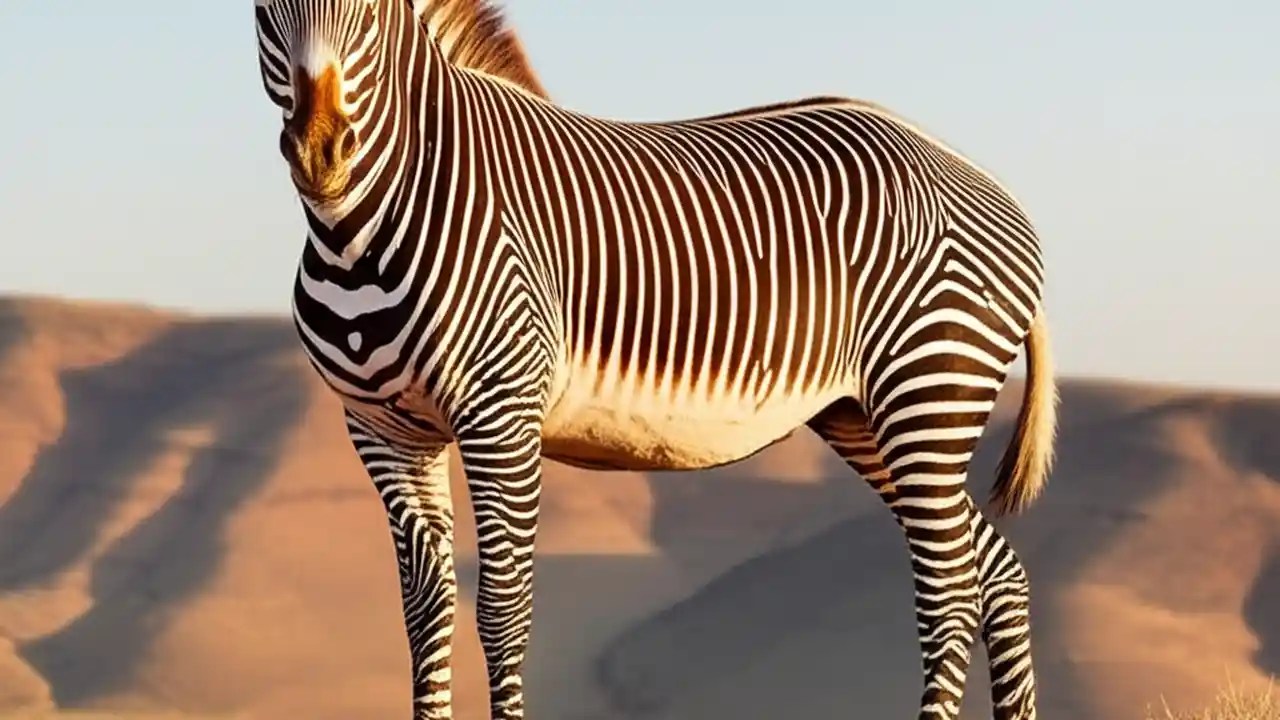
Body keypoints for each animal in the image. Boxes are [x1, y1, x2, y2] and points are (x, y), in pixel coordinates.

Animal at [251, 1, 1059, 718]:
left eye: (372, 11)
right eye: (267, 6)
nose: (322, 153)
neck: (363, 231)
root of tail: (970, 169)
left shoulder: (500, 418)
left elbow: (503, 615)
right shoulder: (386, 432)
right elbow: (426, 620)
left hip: (928, 388)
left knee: (949, 593)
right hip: (867, 416)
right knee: (997, 571)